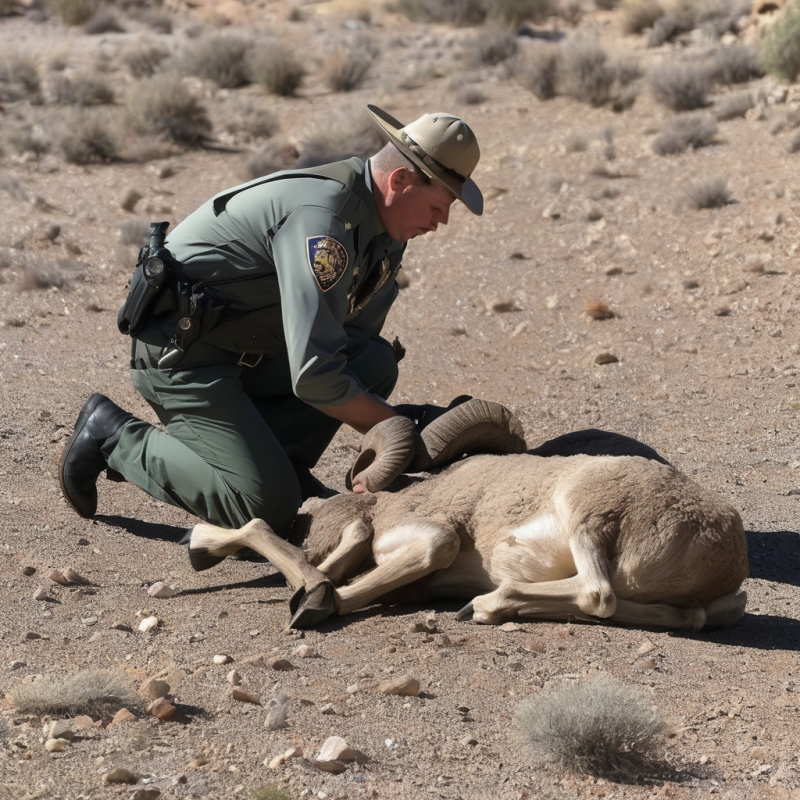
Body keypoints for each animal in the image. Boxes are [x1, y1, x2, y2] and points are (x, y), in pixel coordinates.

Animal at [184, 400, 748, 632]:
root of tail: (717, 543)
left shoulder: (428, 539)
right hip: (709, 604)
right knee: (687, 617)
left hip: (583, 511)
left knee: (598, 595)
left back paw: (486, 604)